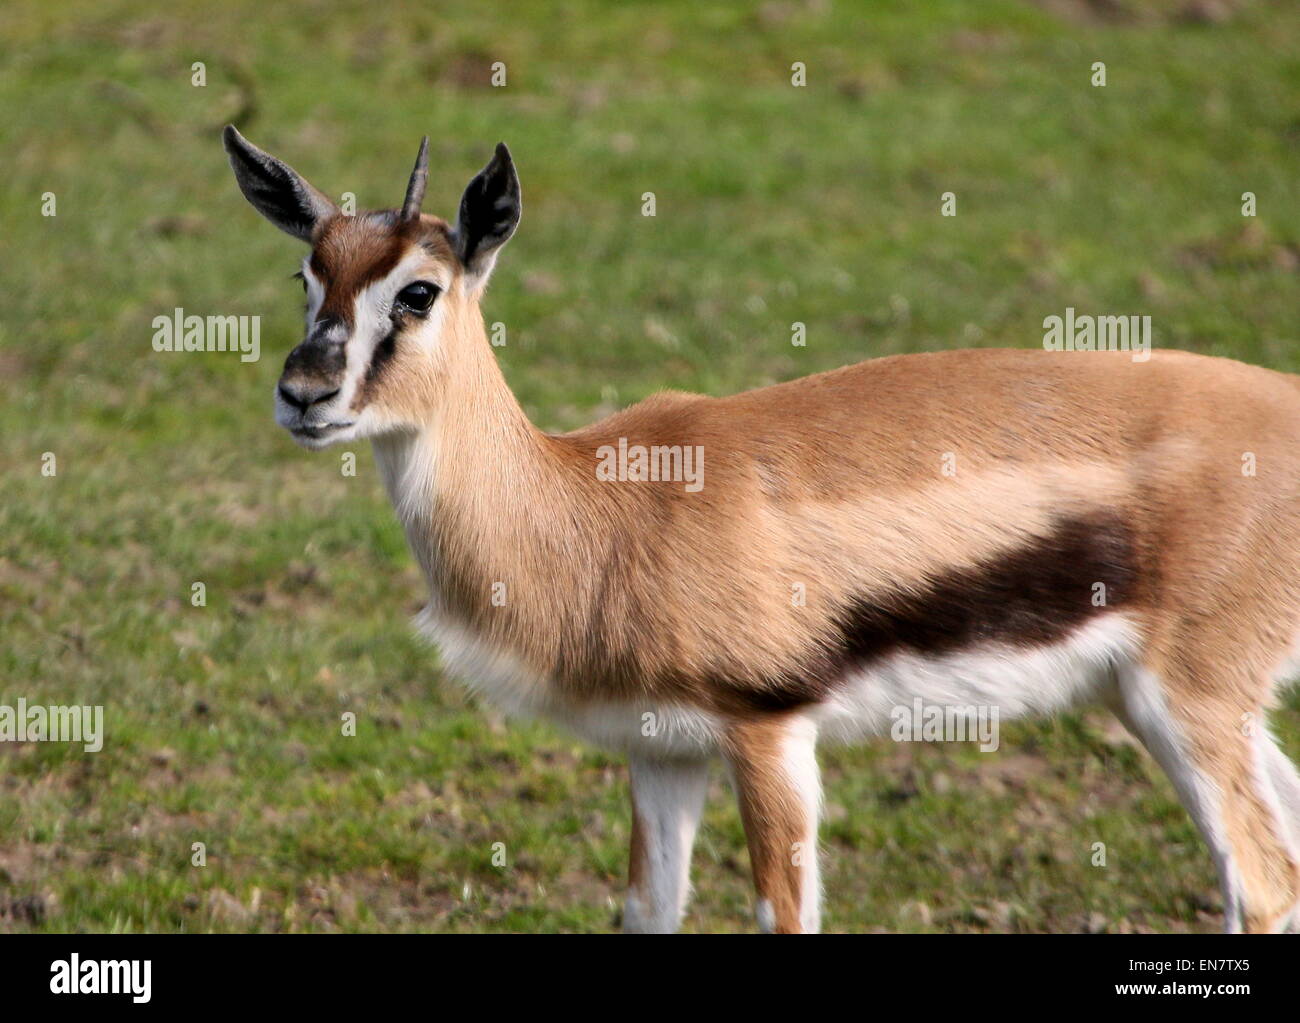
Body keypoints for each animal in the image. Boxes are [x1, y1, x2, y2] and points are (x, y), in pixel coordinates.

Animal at [223, 125, 1300, 934]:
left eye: (418, 290)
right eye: (306, 279)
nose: (303, 395)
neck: (598, 508)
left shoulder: (767, 732)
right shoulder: (661, 750)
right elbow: (646, 914)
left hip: (1188, 702)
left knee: (1263, 884)